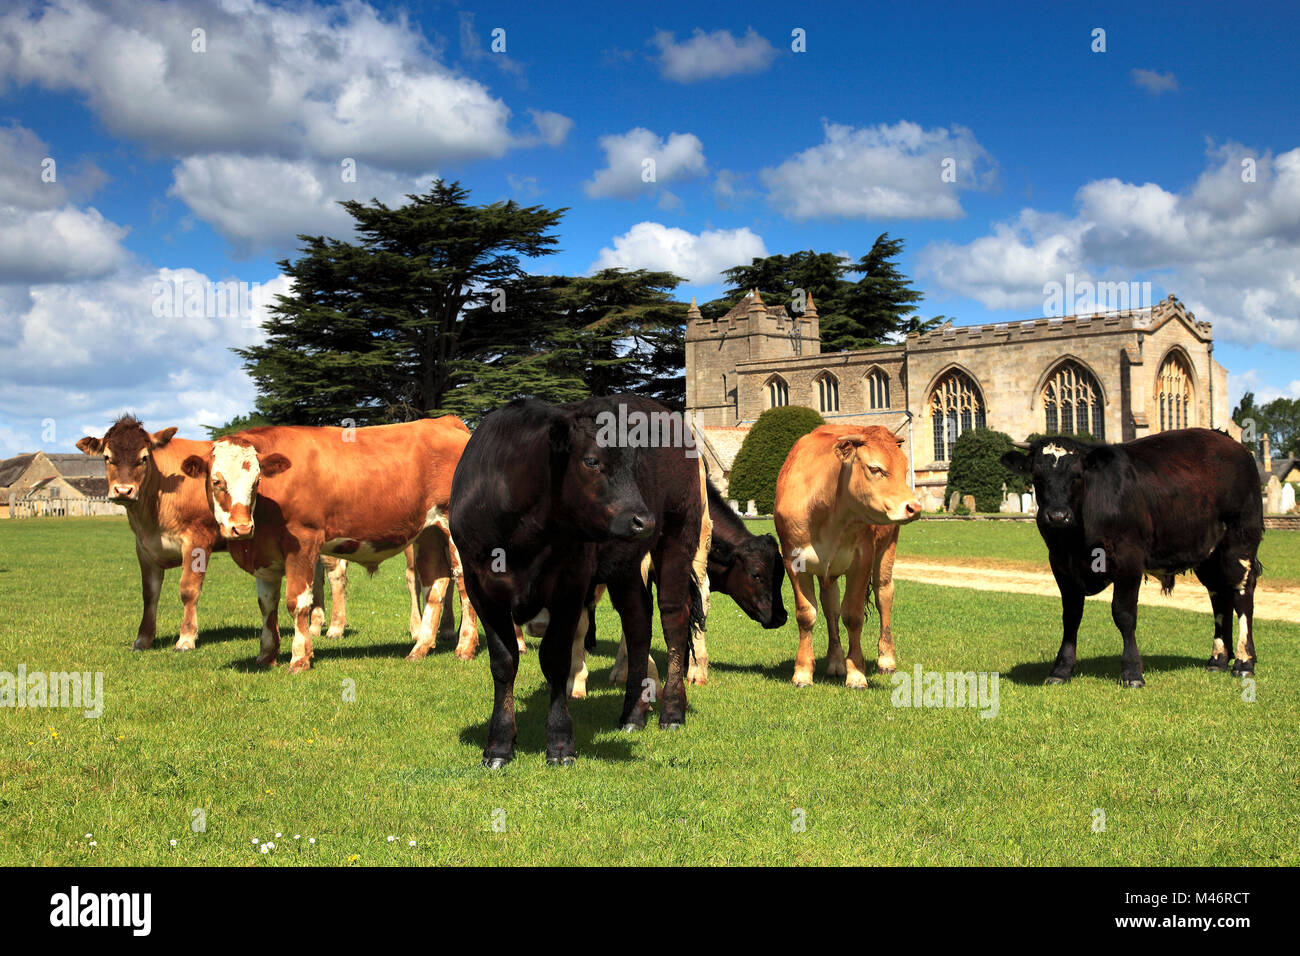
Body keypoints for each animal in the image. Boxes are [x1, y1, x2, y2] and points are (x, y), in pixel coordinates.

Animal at [180, 416, 479, 672]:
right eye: (217, 481)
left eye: (257, 480)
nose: (241, 528)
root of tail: (445, 422)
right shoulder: (263, 557)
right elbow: (266, 605)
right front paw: (266, 656)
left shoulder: (302, 542)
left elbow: (297, 602)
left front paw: (299, 658)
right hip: (428, 532)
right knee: (435, 583)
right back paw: (420, 648)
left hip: (453, 527)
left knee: (462, 582)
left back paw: (465, 647)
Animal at [450, 395, 710, 768]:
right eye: (591, 461)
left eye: (633, 464)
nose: (643, 520)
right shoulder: (481, 587)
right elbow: (503, 662)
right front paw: (499, 745)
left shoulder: (570, 583)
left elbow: (556, 659)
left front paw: (560, 744)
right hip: (625, 564)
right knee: (638, 623)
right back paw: (632, 715)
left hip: (678, 534)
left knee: (673, 617)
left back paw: (672, 712)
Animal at [773, 424, 923, 688]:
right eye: (875, 468)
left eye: (905, 469)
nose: (913, 507)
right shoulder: (792, 560)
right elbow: (806, 614)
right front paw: (802, 672)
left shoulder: (862, 559)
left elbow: (853, 616)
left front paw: (856, 674)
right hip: (828, 572)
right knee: (831, 607)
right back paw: (835, 662)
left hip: (886, 550)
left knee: (884, 596)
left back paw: (886, 660)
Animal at [1000, 428, 1264, 687]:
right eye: (1037, 477)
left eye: (1077, 475)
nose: (1057, 516)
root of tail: (1232, 443)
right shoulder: (1061, 564)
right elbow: (1071, 616)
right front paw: (1061, 670)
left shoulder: (1128, 560)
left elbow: (1124, 614)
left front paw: (1132, 671)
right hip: (1208, 554)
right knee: (1219, 597)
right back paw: (1218, 659)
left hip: (1240, 542)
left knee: (1242, 595)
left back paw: (1243, 662)